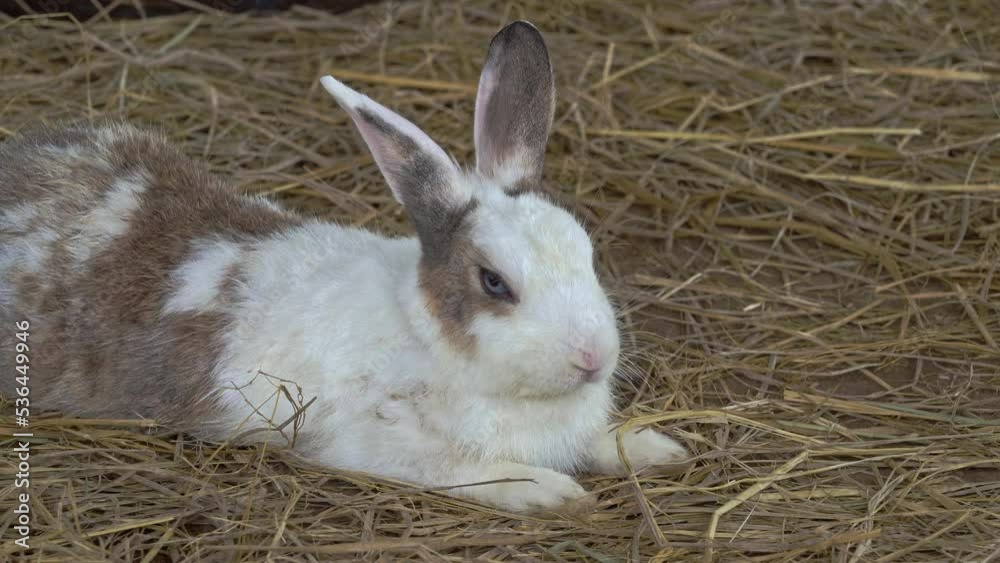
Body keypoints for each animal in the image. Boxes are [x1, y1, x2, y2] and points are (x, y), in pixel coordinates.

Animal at [0, 20, 689, 513]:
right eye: (495, 282)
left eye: (587, 252)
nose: (594, 357)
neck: (427, 337)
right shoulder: (370, 438)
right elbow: (465, 471)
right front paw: (550, 492)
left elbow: (602, 442)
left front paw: (660, 449)